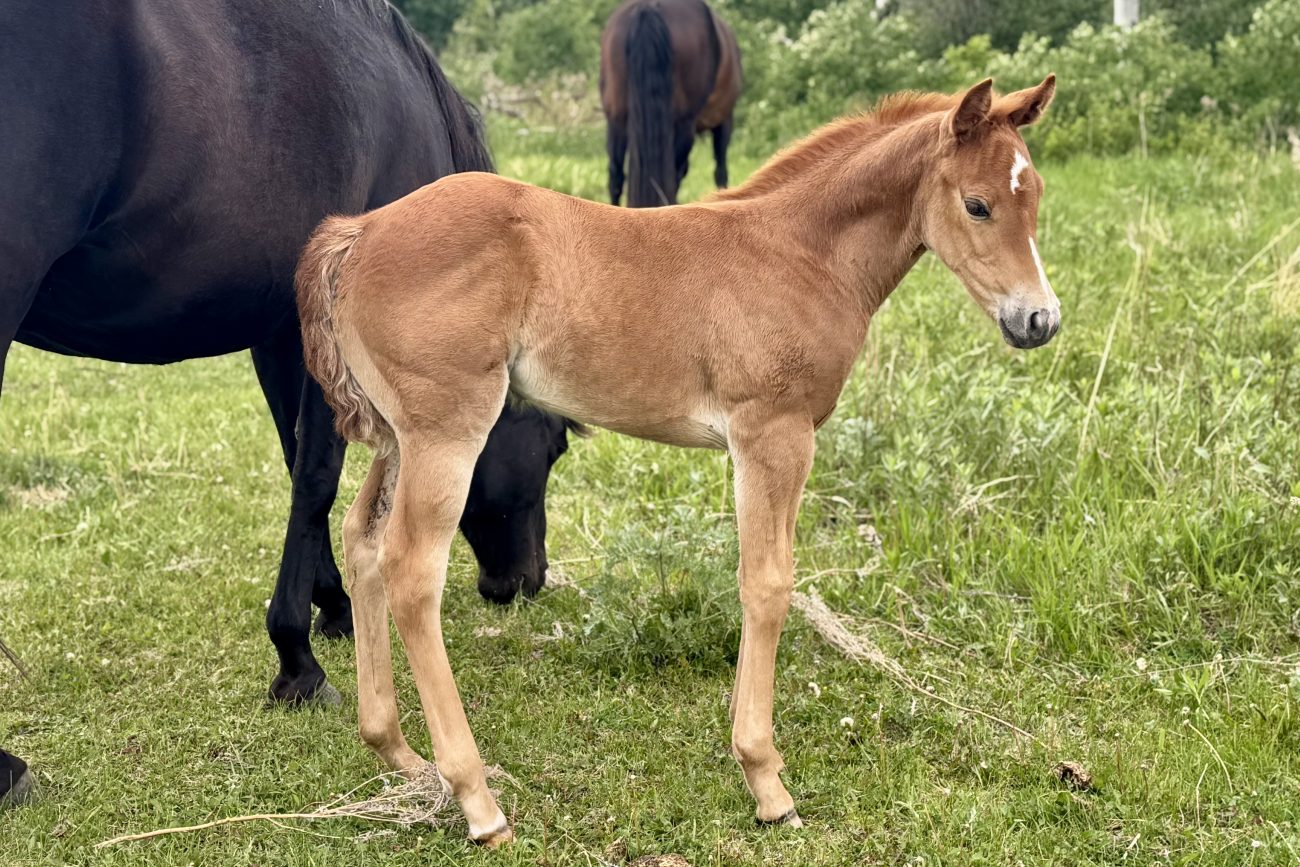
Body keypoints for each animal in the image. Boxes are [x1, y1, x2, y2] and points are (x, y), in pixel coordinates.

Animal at [0, 0, 570, 757]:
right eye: (554, 447)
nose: (526, 580)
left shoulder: (280, 332)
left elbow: (296, 461)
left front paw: (334, 605)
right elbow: (318, 475)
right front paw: (297, 659)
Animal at [297, 76, 1059, 842]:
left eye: (1036, 197)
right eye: (977, 203)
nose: (1040, 320)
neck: (802, 254)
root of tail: (358, 233)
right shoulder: (773, 434)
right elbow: (768, 585)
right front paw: (765, 778)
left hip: (398, 436)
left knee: (362, 540)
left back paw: (398, 751)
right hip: (447, 430)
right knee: (411, 569)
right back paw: (477, 798)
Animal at [601, 0, 742, 207]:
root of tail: (649, 8)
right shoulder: (724, 121)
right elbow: (720, 170)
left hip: (615, 118)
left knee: (616, 175)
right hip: (685, 123)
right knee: (677, 174)